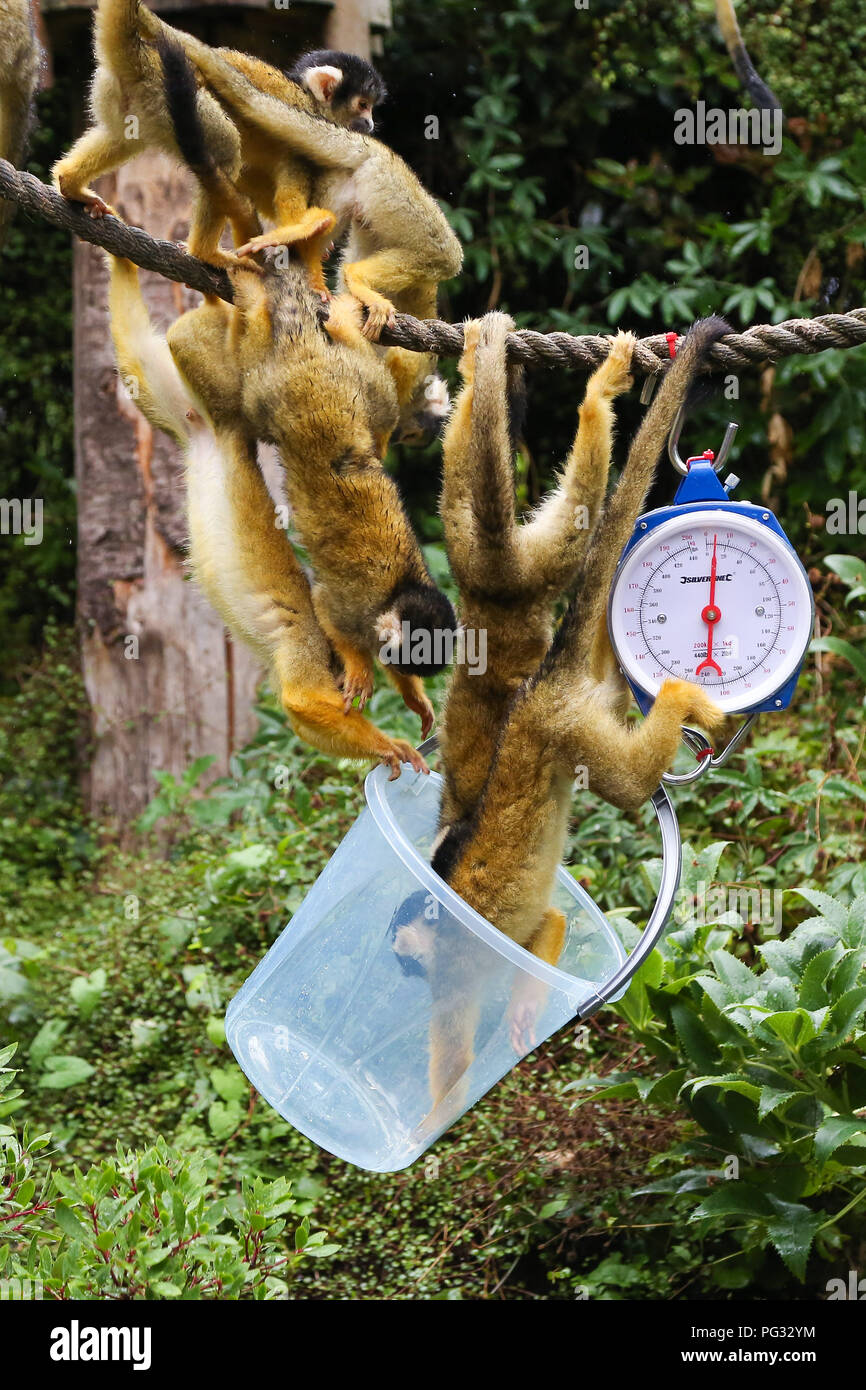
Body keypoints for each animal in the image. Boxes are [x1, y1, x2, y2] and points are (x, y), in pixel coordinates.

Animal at [51, 0, 385, 284]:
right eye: (363, 105)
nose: (370, 123)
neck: (310, 102)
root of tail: (144, 57)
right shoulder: (302, 142)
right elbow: (286, 199)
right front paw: (302, 244)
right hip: (177, 101)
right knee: (223, 148)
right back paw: (205, 253)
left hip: (128, 100)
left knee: (124, 138)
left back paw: (70, 182)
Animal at [106, 255, 427, 779]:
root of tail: (220, 435)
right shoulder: (308, 643)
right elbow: (300, 701)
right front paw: (391, 747)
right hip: (230, 392)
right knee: (198, 345)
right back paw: (243, 299)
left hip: (189, 419)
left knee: (138, 361)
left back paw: (119, 255)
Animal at [228, 257, 457, 738]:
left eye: (400, 660)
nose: (389, 659)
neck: (400, 590)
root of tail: (307, 360)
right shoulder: (358, 604)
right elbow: (326, 609)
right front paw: (359, 669)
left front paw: (413, 695)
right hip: (272, 391)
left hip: (342, 382)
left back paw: (320, 319)